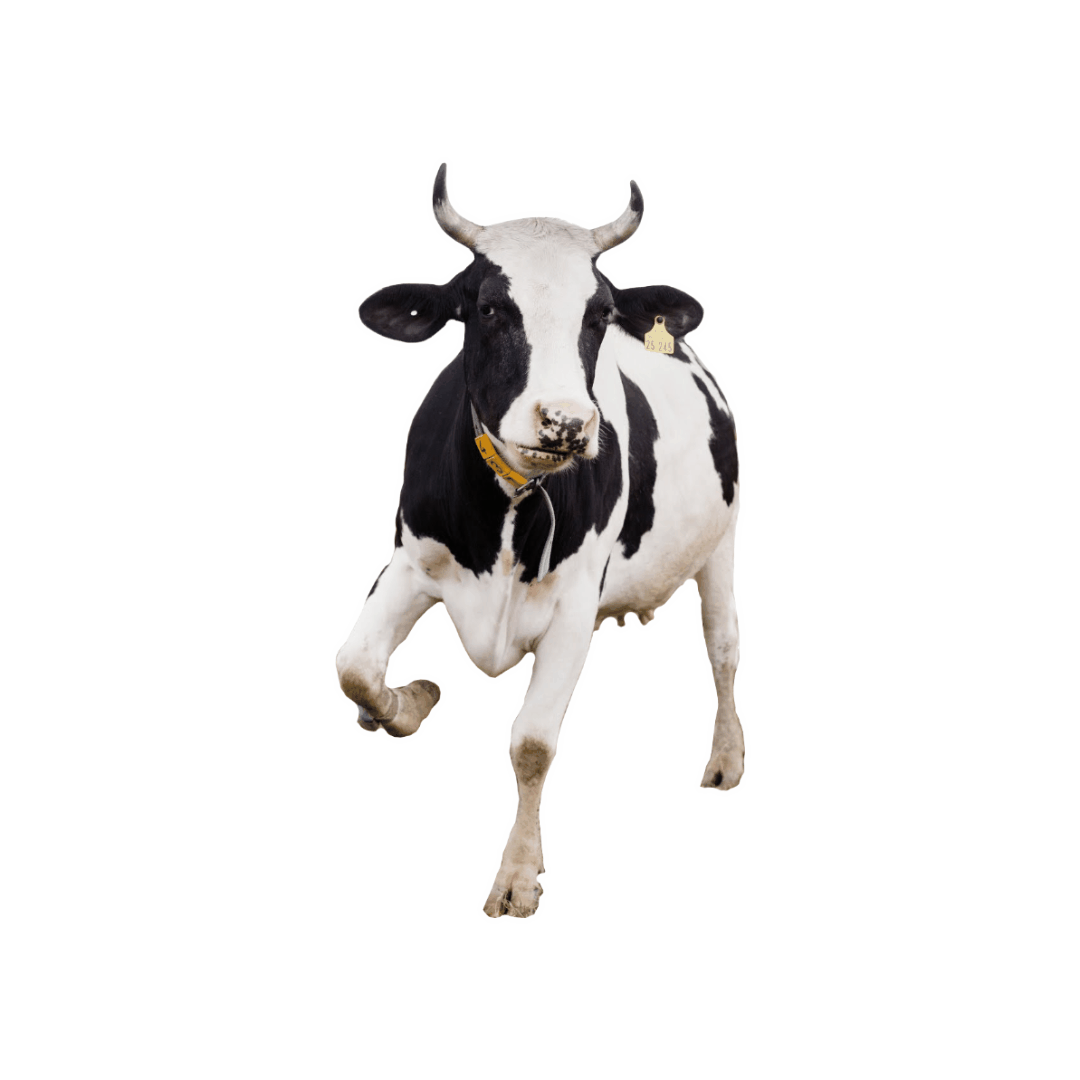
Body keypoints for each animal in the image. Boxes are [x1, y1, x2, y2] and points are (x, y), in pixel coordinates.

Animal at [332, 160, 748, 922]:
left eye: (598, 315)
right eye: (489, 308)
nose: (565, 423)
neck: (510, 506)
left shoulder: (573, 609)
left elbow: (531, 743)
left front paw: (518, 878)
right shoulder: (409, 564)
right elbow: (354, 666)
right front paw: (410, 704)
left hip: (723, 545)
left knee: (725, 648)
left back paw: (727, 759)